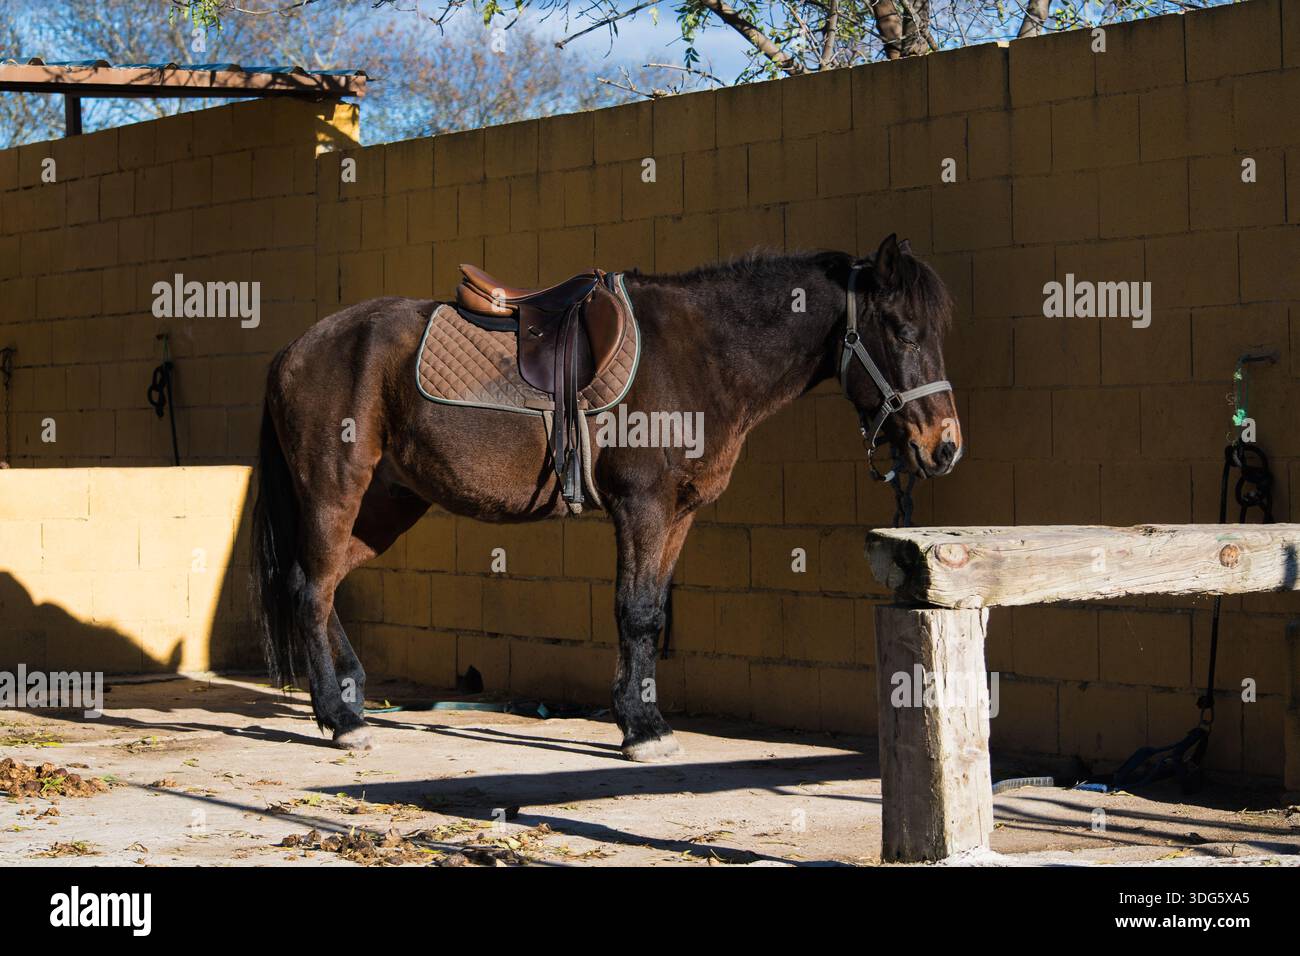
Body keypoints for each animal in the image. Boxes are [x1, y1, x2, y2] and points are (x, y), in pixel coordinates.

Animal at [250, 233, 962, 759]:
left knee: (323, 584)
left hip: (386, 504)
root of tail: (294, 349)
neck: (701, 354)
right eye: (903, 331)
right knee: (310, 589)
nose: (944, 447)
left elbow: (650, 610)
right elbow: (637, 613)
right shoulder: (642, 508)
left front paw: (638, 717)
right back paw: (342, 720)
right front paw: (644, 731)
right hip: (334, 491)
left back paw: (346, 701)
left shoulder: (677, 514)